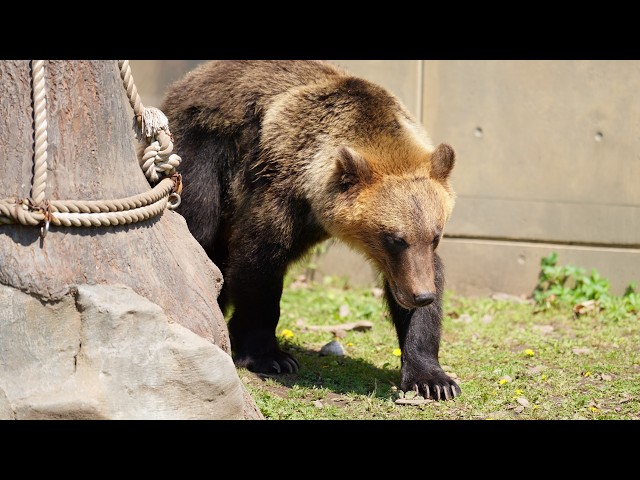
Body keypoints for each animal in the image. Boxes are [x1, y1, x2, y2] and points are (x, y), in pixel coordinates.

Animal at [161, 60, 460, 401]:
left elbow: (426, 287)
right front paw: (270, 356)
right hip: (202, 150)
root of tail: (191, 78)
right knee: (200, 228)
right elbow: (259, 261)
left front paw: (434, 380)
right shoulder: (275, 189)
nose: (421, 295)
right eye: (394, 238)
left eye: (435, 235)